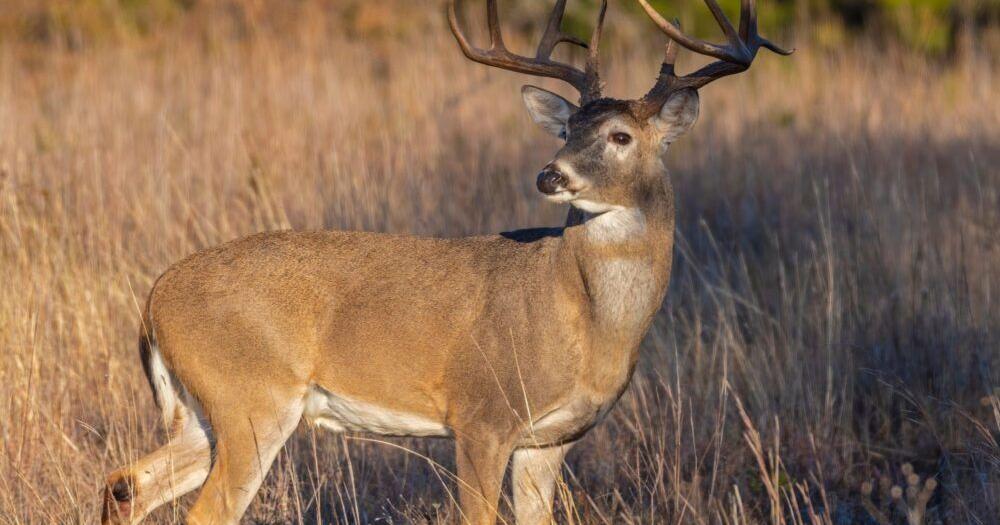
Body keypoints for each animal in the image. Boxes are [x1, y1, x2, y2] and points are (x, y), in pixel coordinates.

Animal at [100, 0, 790, 523]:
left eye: (620, 136)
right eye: (566, 131)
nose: (549, 174)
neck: (584, 319)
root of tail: (154, 300)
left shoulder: (550, 440)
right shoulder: (482, 414)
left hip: (202, 413)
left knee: (125, 484)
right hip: (251, 398)